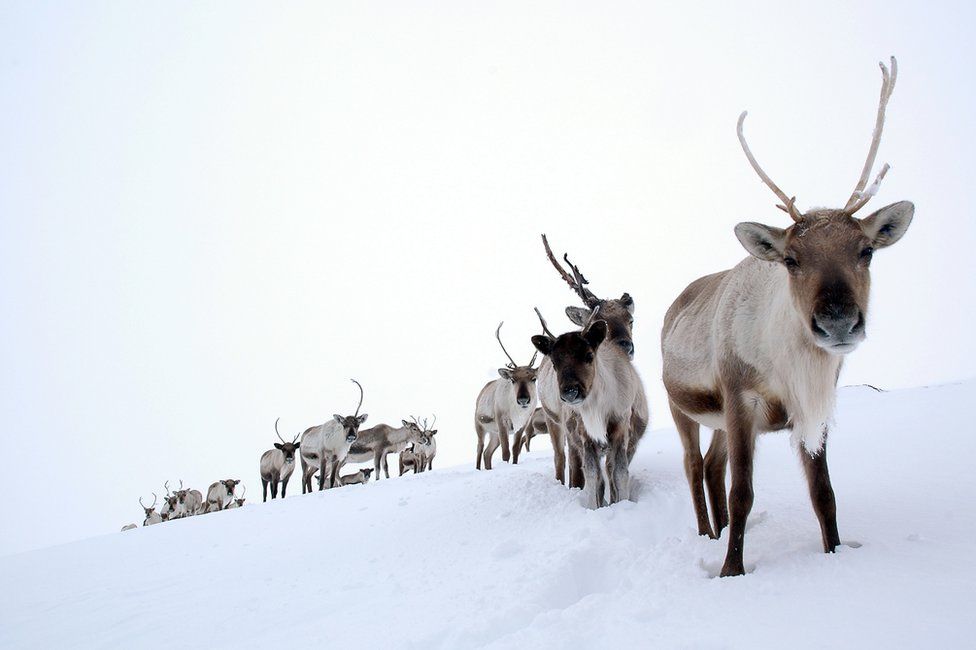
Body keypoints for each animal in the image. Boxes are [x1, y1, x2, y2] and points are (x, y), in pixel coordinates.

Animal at [475, 322, 539, 470]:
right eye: (513, 379)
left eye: (534, 378)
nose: (523, 399)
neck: (517, 412)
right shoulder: (501, 420)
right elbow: (506, 452)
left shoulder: (523, 424)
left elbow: (515, 450)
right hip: (480, 426)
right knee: (480, 449)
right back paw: (478, 469)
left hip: (494, 434)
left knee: (487, 453)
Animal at [532, 307, 646, 509]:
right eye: (555, 362)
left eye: (589, 355)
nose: (570, 392)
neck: (597, 408)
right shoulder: (585, 434)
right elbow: (593, 477)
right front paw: (594, 507)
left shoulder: (620, 426)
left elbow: (619, 473)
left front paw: (622, 503)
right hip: (555, 424)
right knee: (561, 458)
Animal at [661, 57, 914, 577]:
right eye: (791, 259)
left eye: (866, 251)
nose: (837, 321)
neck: (786, 365)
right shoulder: (740, 398)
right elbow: (742, 493)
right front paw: (731, 571)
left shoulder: (811, 406)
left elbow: (824, 493)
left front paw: (834, 553)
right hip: (681, 406)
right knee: (694, 466)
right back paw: (707, 534)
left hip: (718, 419)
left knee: (712, 465)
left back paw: (718, 532)